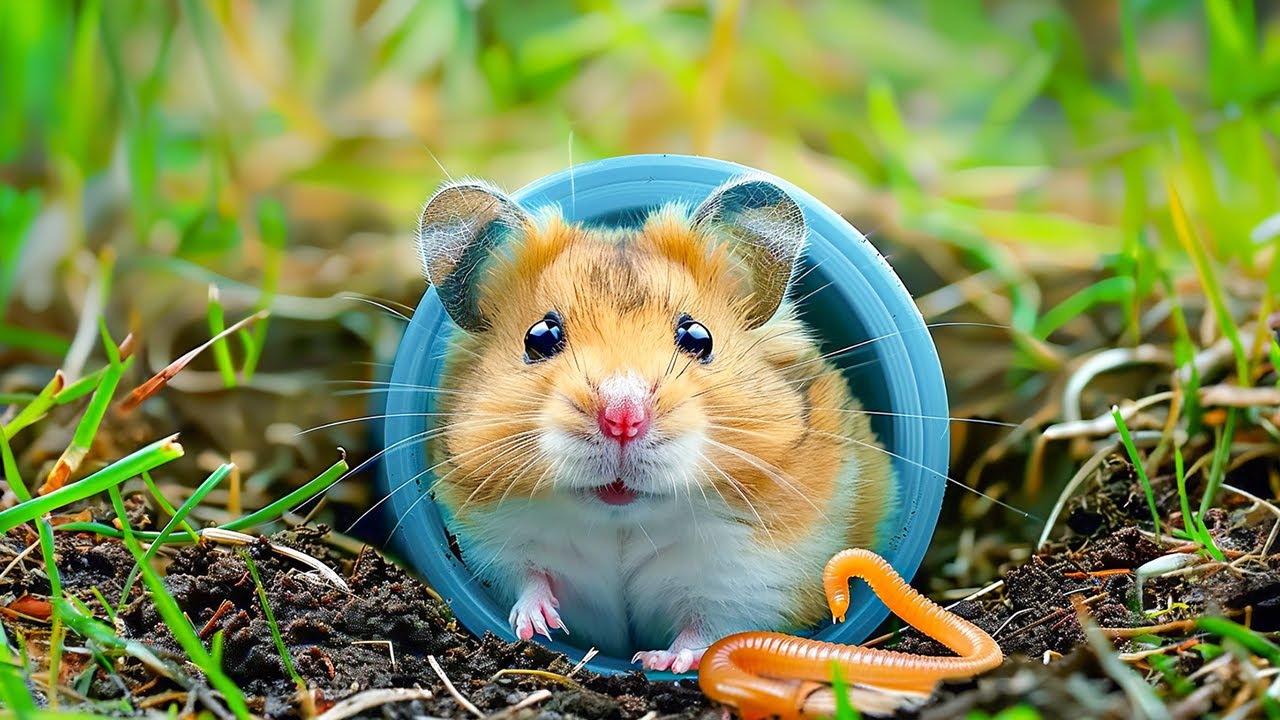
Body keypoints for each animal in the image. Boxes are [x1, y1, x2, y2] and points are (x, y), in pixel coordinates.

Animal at [415, 175, 897, 673]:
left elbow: (712, 627)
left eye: (698, 337)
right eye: (540, 337)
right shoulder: (493, 541)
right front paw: (538, 626)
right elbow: (529, 576)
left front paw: (659, 661)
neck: (625, 520)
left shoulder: (756, 576)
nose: (622, 417)